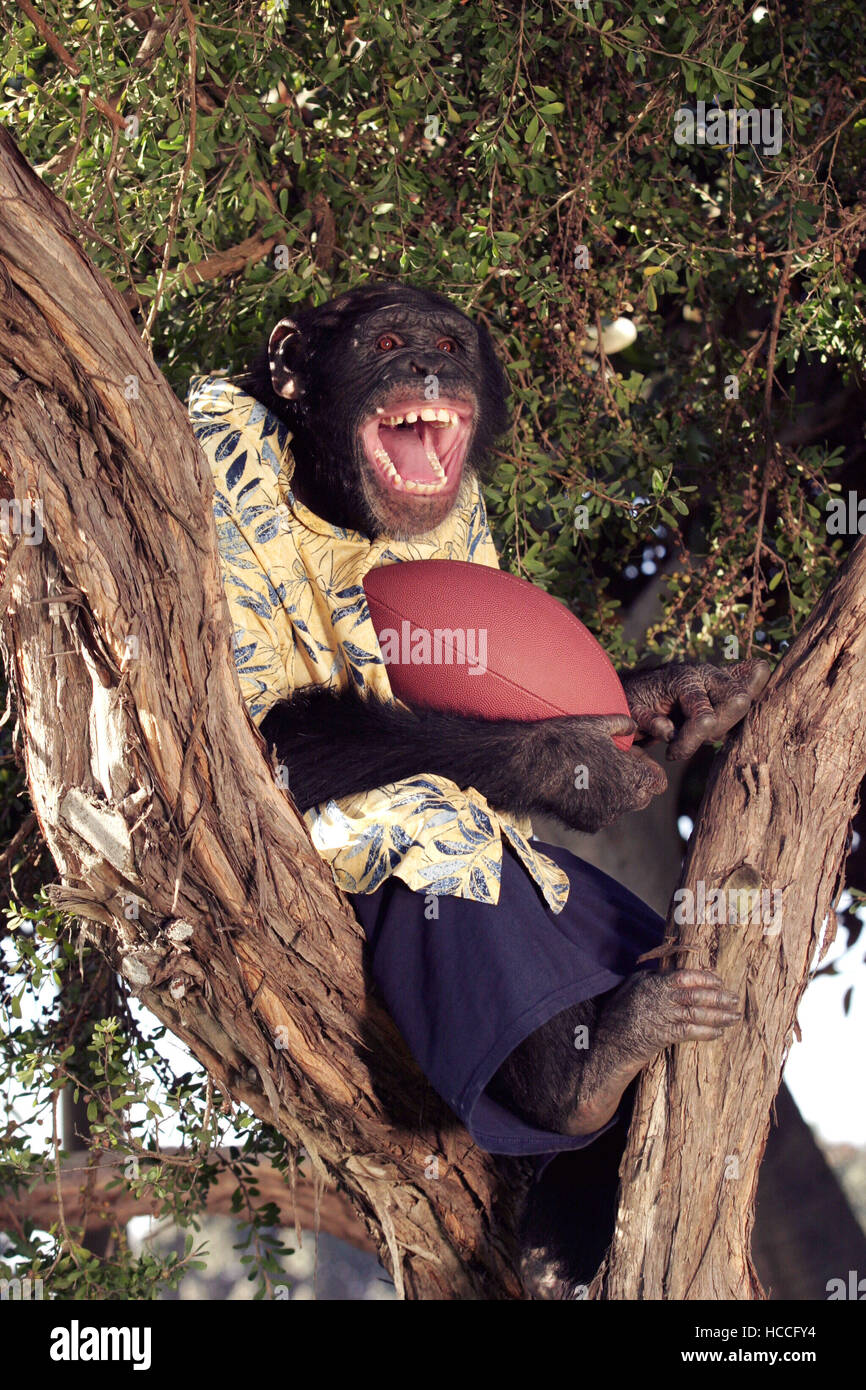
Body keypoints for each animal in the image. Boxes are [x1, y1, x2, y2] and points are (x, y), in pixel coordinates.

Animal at [190, 282, 769, 1296]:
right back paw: (585, 1076)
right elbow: (269, 721)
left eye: (450, 343)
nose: (427, 365)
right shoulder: (221, 459)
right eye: (386, 341)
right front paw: (579, 759)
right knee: (437, 816)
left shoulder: (467, 516)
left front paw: (676, 693)